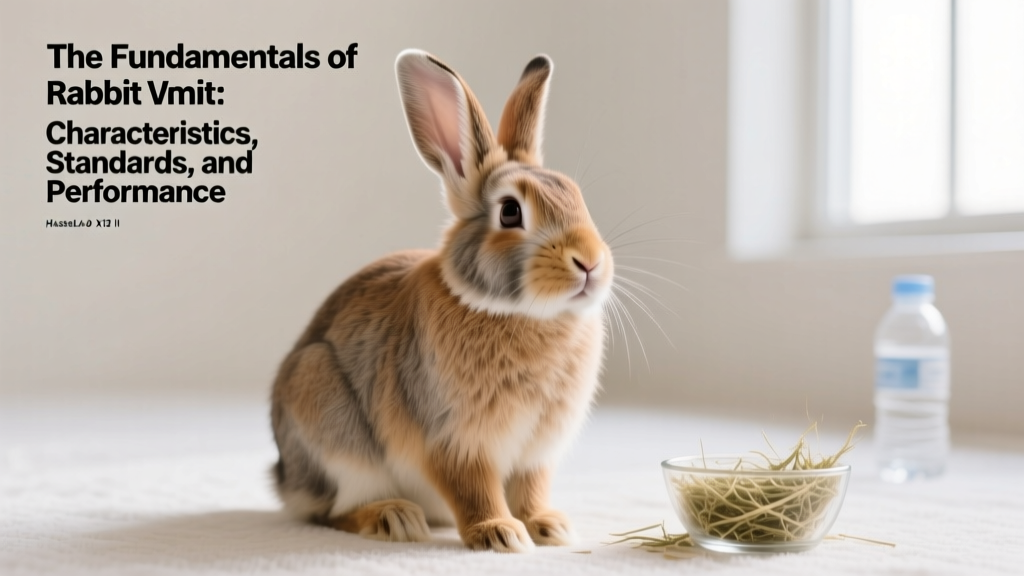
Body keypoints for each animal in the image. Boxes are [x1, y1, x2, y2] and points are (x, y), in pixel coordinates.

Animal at [270, 49, 613, 553]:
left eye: (576, 195)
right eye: (510, 211)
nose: (589, 262)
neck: (518, 313)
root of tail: (285, 480)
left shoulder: (536, 453)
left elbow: (531, 489)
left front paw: (549, 527)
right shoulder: (453, 439)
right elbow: (473, 488)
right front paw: (500, 534)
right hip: (330, 422)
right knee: (332, 512)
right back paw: (394, 518)